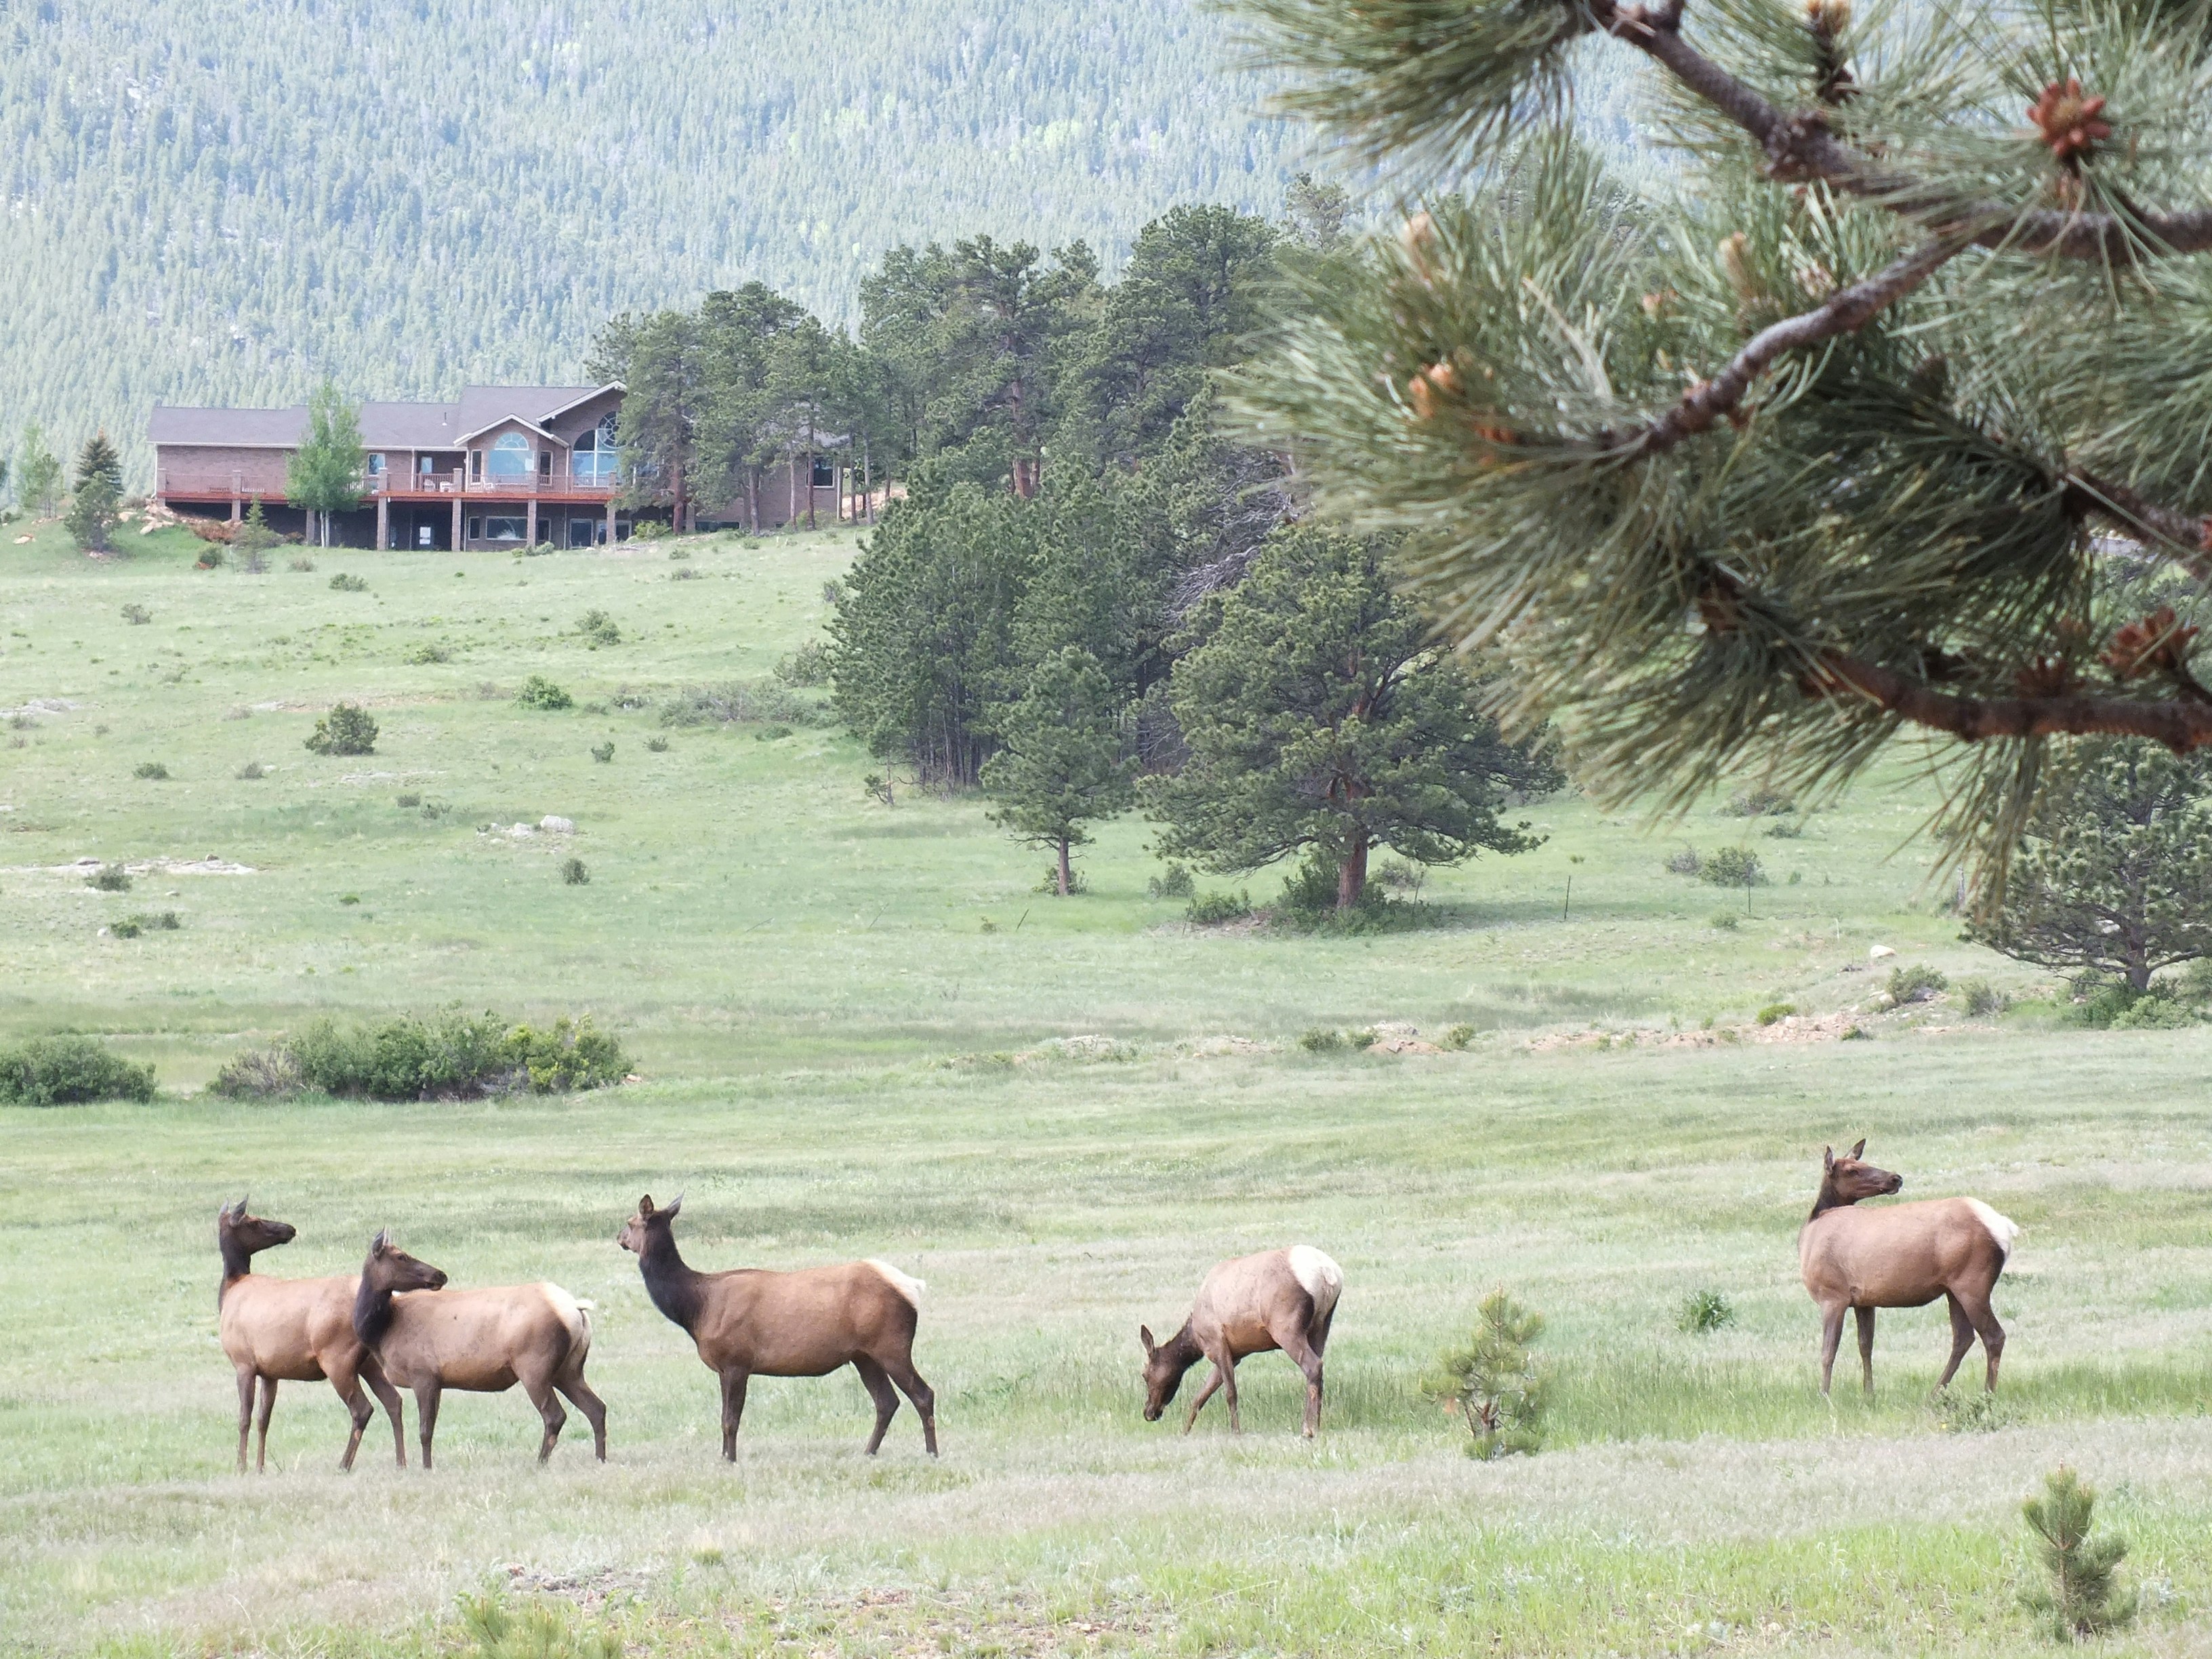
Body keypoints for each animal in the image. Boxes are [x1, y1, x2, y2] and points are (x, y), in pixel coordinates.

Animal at [215, 1196, 407, 1473]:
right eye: (255, 1221)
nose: (289, 1229)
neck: (230, 1290)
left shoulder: (243, 1362)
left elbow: (244, 1419)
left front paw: (241, 1467)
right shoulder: (270, 1371)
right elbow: (264, 1419)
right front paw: (260, 1467)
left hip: (338, 1359)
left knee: (363, 1408)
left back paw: (345, 1464)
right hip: (369, 1361)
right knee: (394, 1401)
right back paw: (401, 1462)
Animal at [350, 1231, 606, 1467]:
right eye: (401, 1256)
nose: (440, 1274)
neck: (382, 1332)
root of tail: (576, 1309)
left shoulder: (423, 1374)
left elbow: (425, 1431)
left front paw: (427, 1468)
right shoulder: (436, 1380)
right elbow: (429, 1428)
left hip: (535, 1367)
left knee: (555, 1416)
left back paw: (540, 1462)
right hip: (569, 1369)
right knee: (597, 1408)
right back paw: (600, 1458)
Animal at [616, 1194, 937, 1458]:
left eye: (630, 1222)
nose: (618, 1237)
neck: (697, 1309)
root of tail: (910, 1288)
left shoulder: (736, 1360)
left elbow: (730, 1420)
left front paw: (730, 1460)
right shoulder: (724, 1367)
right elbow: (724, 1419)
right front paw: (724, 1457)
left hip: (892, 1345)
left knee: (923, 1394)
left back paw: (932, 1452)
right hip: (863, 1355)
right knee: (887, 1402)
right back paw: (868, 1452)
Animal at [1140, 1245, 1342, 1437]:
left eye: (1145, 1374)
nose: (1149, 1413)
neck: (1195, 1336)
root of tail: (1328, 1274)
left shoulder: (1216, 1344)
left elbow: (1230, 1392)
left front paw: (1236, 1431)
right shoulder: (1235, 1354)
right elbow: (1201, 1396)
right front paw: (1185, 1432)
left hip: (1286, 1326)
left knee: (1313, 1365)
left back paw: (1308, 1429)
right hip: (1322, 1324)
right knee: (1319, 1367)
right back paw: (1316, 1425)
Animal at [1800, 1140, 2020, 1396]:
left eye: (1861, 1164)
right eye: (1853, 1170)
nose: (1895, 1178)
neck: (1811, 1228)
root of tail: (2004, 1228)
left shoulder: (1832, 1295)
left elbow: (1828, 1352)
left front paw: (1824, 1395)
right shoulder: (1864, 1301)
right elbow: (1865, 1346)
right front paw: (1869, 1394)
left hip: (1972, 1282)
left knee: (1994, 1336)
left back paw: (1987, 1393)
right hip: (1954, 1289)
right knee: (1963, 1338)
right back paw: (1936, 1393)